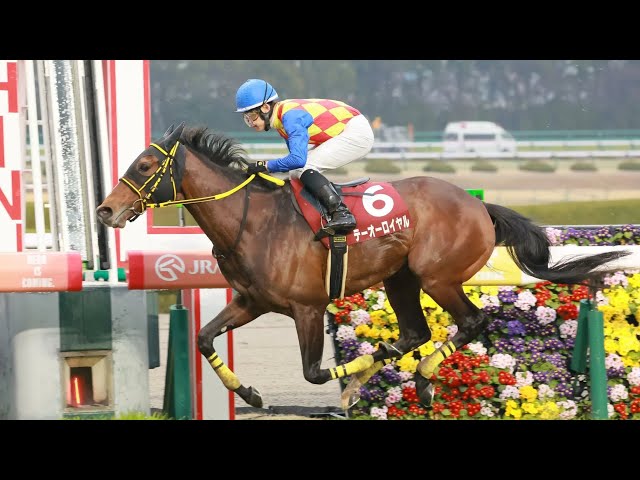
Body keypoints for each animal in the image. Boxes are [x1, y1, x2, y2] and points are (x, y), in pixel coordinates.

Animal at [95, 122, 630, 410]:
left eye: (145, 166)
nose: (105, 210)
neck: (252, 221)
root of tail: (479, 205)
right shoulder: (252, 301)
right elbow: (205, 338)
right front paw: (250, 394)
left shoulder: (307, 308)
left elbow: (314, 373)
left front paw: (346, 387)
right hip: (401, 279)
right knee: (415, 332)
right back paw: (388, 376)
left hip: (437, 276)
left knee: (472, 321)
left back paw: (422, 380)